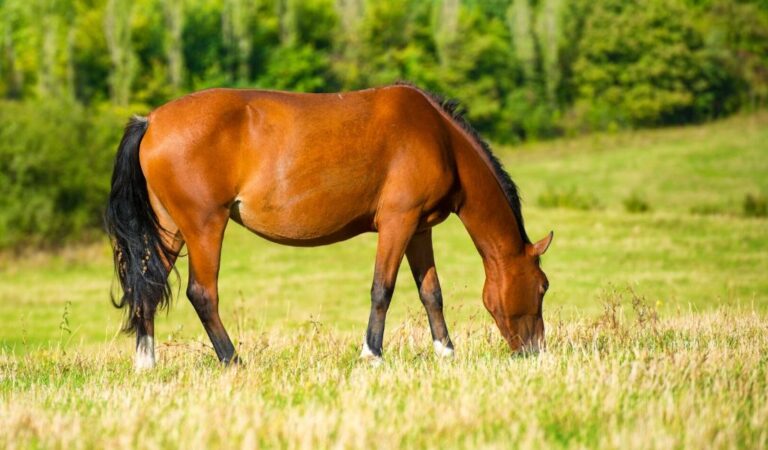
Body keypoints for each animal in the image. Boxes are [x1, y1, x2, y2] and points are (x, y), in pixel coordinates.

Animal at [105, 82, 553, 370]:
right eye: (543, 286)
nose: (535, 351)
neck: (439, 138)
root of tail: (151, 121)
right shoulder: (398, 221)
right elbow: (382, 289)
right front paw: (372, 354)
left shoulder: (418, 230)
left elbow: (431, 293)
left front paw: (446, 352)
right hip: (204, 226)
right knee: (202, 294)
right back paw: (233, 360)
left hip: (170, 230)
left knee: (148, 288)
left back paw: (146, 363)